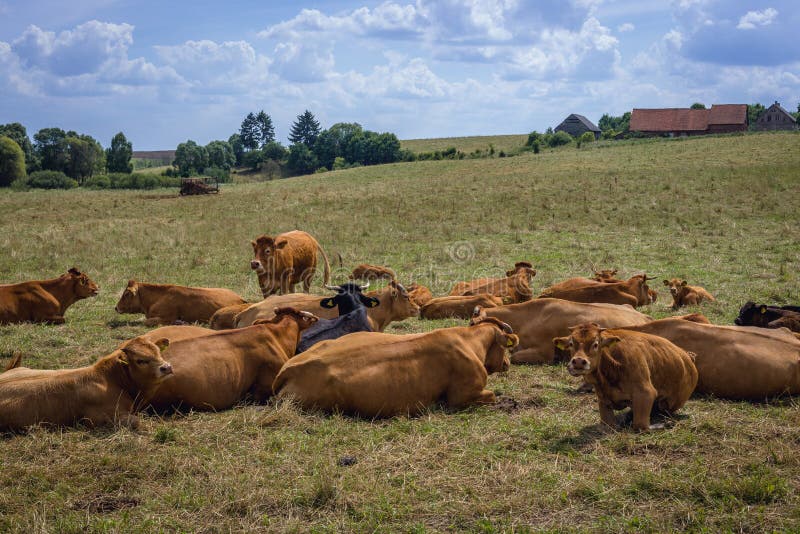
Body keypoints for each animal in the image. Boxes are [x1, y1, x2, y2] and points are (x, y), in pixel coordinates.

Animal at [0, 337, 172, 431]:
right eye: (140, 360)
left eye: (158, 351)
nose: (167, 367)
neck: (111, 379)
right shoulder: (101, 418)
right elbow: (137, 421)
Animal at [273, 317, 518, 418]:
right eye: (504, 348)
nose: (507, 363)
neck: (469, 340)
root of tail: (290, 368)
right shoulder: (463, 396)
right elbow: (492, 395)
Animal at [554, 323, 697, 431]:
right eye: (571, 343)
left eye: (595, 344)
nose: (578, 361)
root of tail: (687, 355)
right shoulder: (603, 400)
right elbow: (608, 426)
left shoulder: (646, 393)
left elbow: (640, 426)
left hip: (669, 403)